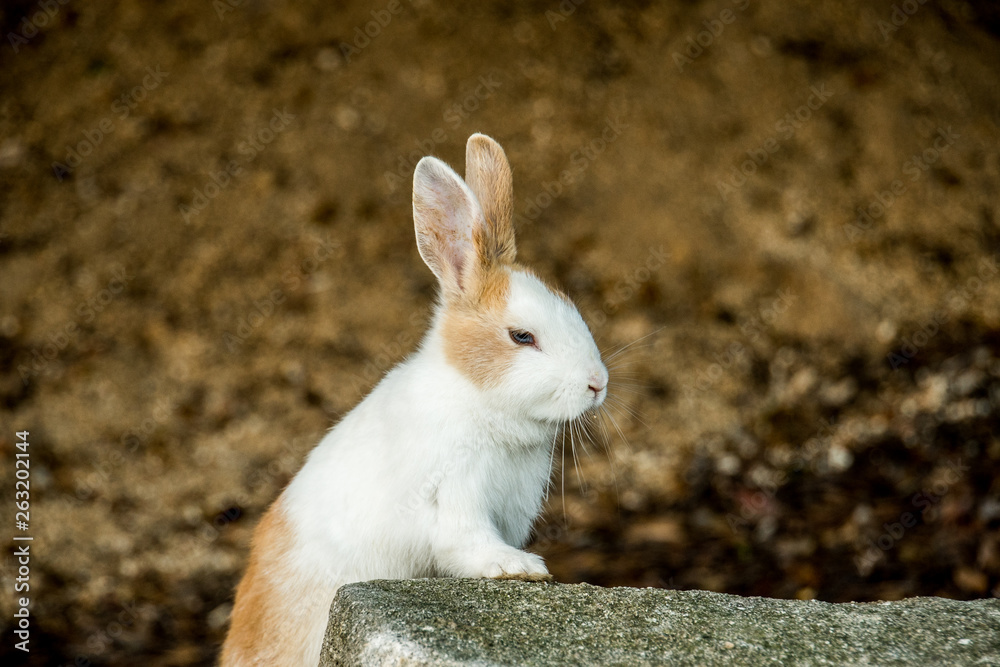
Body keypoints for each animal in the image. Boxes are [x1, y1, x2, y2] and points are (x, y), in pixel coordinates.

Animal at [220, 133, 609, 667]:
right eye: (522, 336)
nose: (598, 383)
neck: (476, 397)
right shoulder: (457, 497)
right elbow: (469, 545)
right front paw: (521, 568)